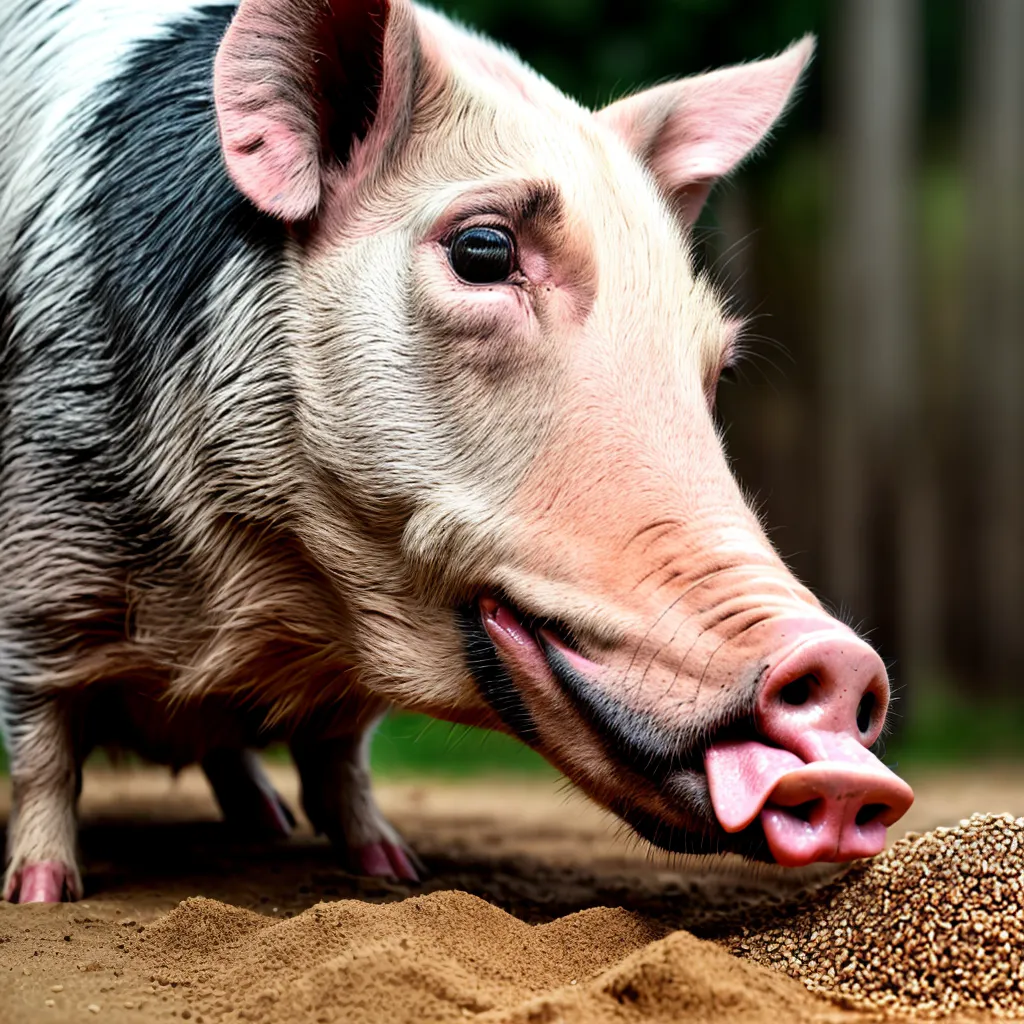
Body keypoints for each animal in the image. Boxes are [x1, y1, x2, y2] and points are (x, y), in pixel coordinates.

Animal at [0, 0, 913, 904]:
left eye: (717, 363)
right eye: (483, 251)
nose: (842, 660)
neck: (265, 607)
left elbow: (342, 754)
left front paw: (394, 870)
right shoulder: (40, 561)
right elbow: (45, 744)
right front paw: (42, 894)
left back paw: (268, 826)